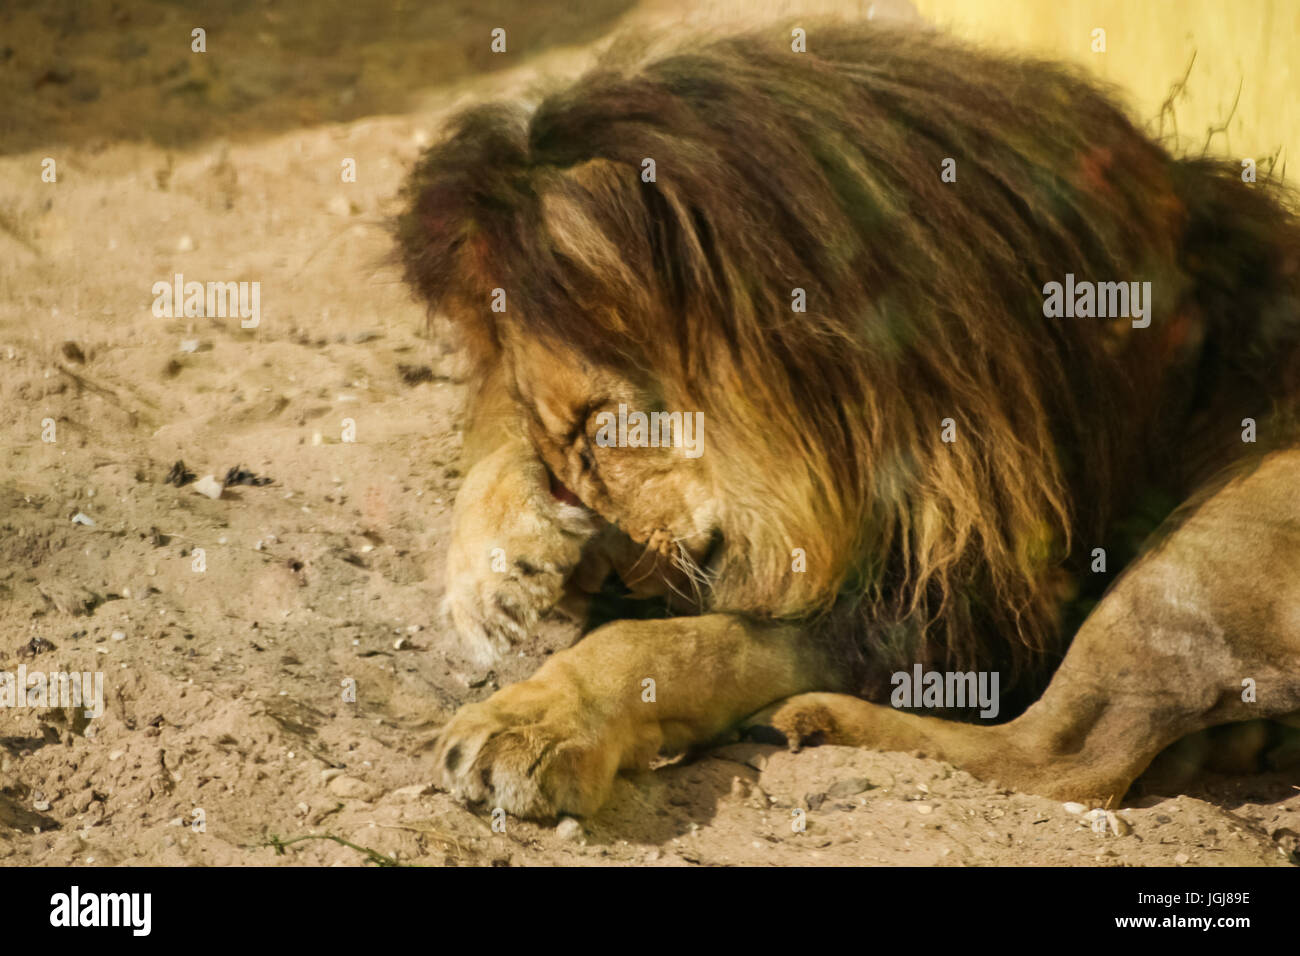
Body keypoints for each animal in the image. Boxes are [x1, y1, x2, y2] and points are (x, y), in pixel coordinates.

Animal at [396, 22, 1300, 819]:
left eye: (604, 427)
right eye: (563, 453)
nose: (605, 582)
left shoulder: (953, 602)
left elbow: (676, 644)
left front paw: (532, 723)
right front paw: (499, 568)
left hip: (1206, 543)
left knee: (1070, 757)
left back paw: (810, 717)